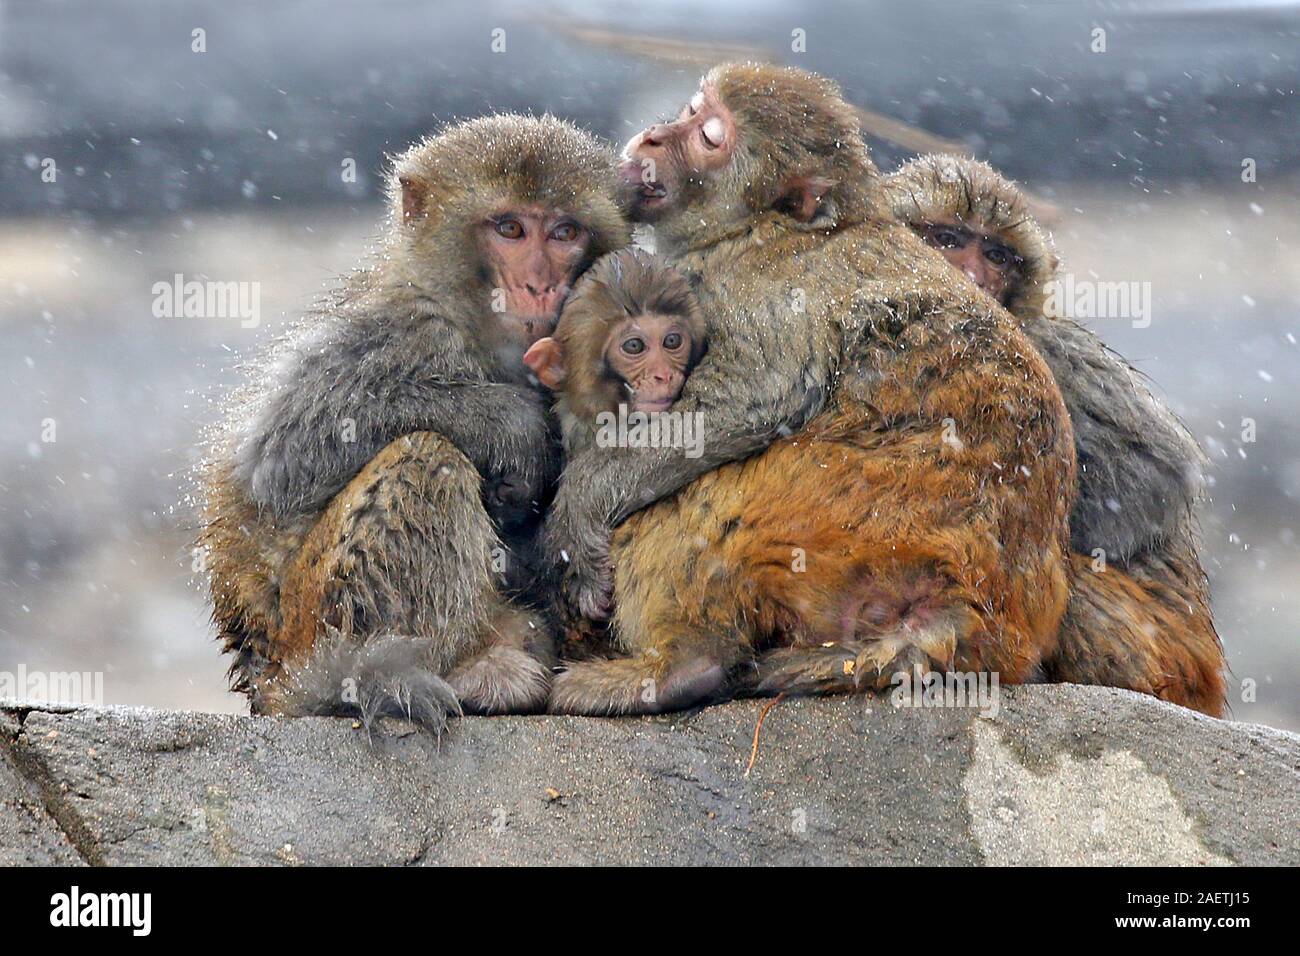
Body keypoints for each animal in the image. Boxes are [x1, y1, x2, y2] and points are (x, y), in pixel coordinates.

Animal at [199, 114, 631, 732]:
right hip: (311, 618)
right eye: (510, 229)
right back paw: (421, 674)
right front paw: (511, 424)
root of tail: (262, 670)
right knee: (426, 458)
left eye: (564, 232)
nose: (540, 286)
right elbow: (281, 452)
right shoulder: (396, 331)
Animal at [542, 63, 1078, 715]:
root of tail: (971, 610)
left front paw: (579, 507)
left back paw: (685, 664)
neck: (759, 225)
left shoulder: (742, 286)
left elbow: (748, 400)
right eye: (692, 110)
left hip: (838, 517)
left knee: (700, 501)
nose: (652, 136)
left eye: (710, 137)